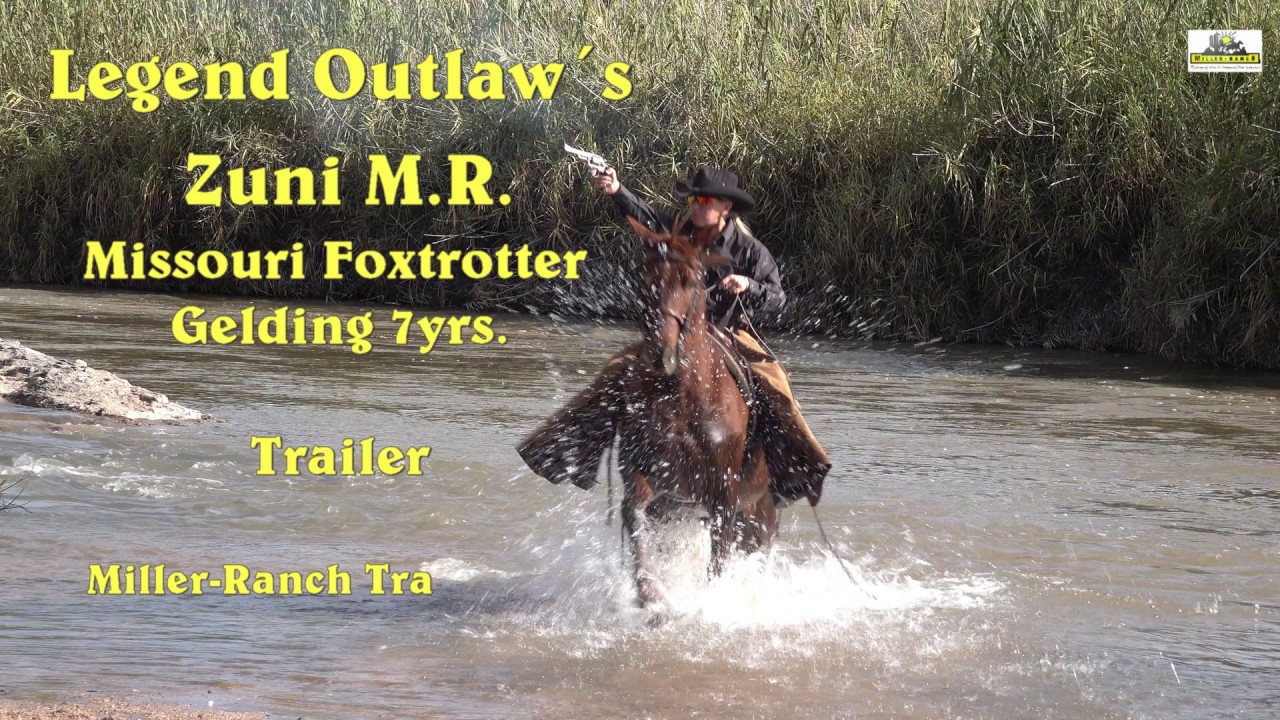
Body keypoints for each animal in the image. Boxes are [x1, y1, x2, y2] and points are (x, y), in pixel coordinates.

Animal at [616, 215, 777, 607]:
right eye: (645, 278)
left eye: (691, 279)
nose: (661, 352)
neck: (683, 400)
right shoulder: (648, 481)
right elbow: (634, 516)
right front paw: (649, 592)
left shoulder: (724, 498)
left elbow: (717, 563)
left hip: (759, 516)